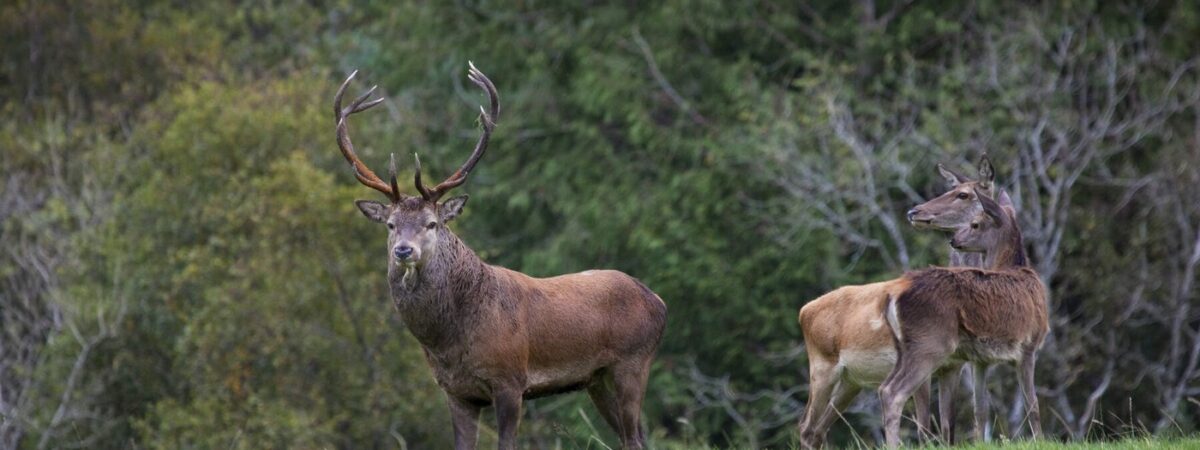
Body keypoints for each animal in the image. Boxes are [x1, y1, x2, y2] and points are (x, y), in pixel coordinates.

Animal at [332, 64, 667, 450]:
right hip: (596, 379)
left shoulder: (510, 379)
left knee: (635, 437)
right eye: (390, 224)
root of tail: (659, 302)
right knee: (635, 436)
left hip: (634, 362)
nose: (404, 250)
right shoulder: (456, 391)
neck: (449, 342)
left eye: (431, 223)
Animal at [797, 157, 1001, 448]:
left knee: (818, 429)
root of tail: (804, 310)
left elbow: (947, 428)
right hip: (822, 366)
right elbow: (925, 427)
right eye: (950, 189)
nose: (914, 211)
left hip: (851, 380)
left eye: (964, 194)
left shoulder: (953, 365)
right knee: (805, 426)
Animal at [879, 189, 1048, 449]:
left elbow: (981, 409)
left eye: (975, 224)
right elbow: (1033, 405)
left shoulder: (980, 360)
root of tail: (893, 295)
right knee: (893, 392)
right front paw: (1040, 441)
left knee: (884, 388)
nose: (953, 241)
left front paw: (981, 442)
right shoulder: (1029, 345)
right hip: (930, 343)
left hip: (903, 348)